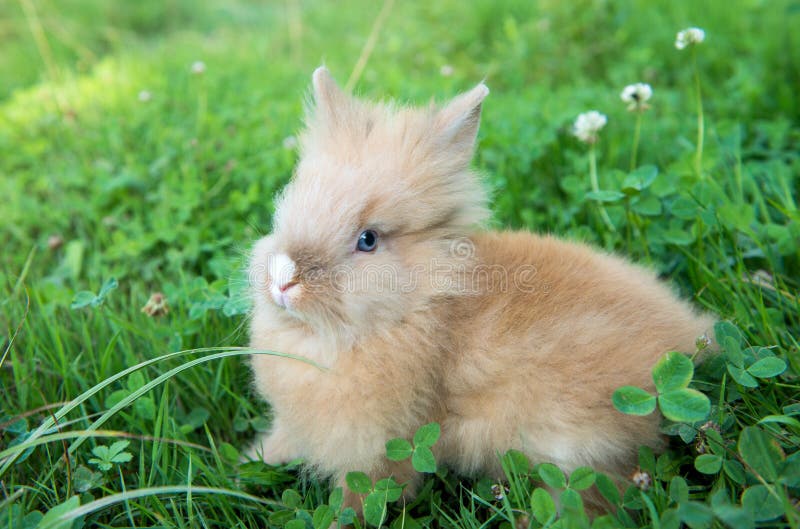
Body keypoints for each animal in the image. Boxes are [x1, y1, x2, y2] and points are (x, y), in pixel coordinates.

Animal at [245, 67, 715, 512]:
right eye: (287, 204)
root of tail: (689, 335)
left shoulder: (381, 446)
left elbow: (365, 493)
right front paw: (253, 458)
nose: (283, 279)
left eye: (368, 239)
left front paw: (346, 515)